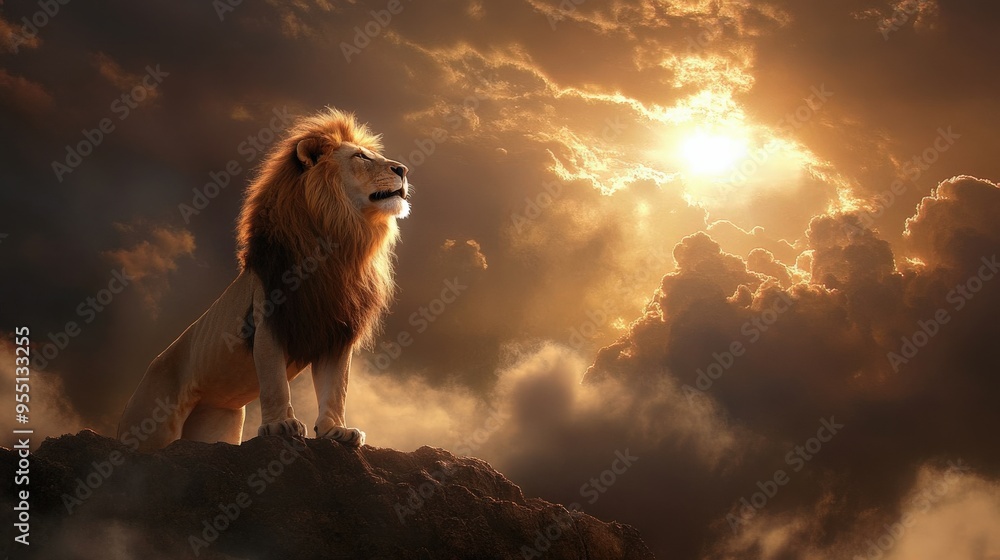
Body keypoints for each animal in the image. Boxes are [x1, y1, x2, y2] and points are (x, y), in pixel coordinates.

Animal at [117, 108, 410, 451]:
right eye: (361, 157)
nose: (403, 169)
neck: (342, 243)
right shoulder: (268, 317)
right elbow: (274, 382)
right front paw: (280, 426)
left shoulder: (336, 331)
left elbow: (336, 387)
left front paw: (336, 430)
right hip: (151, 421)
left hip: (217, 423)